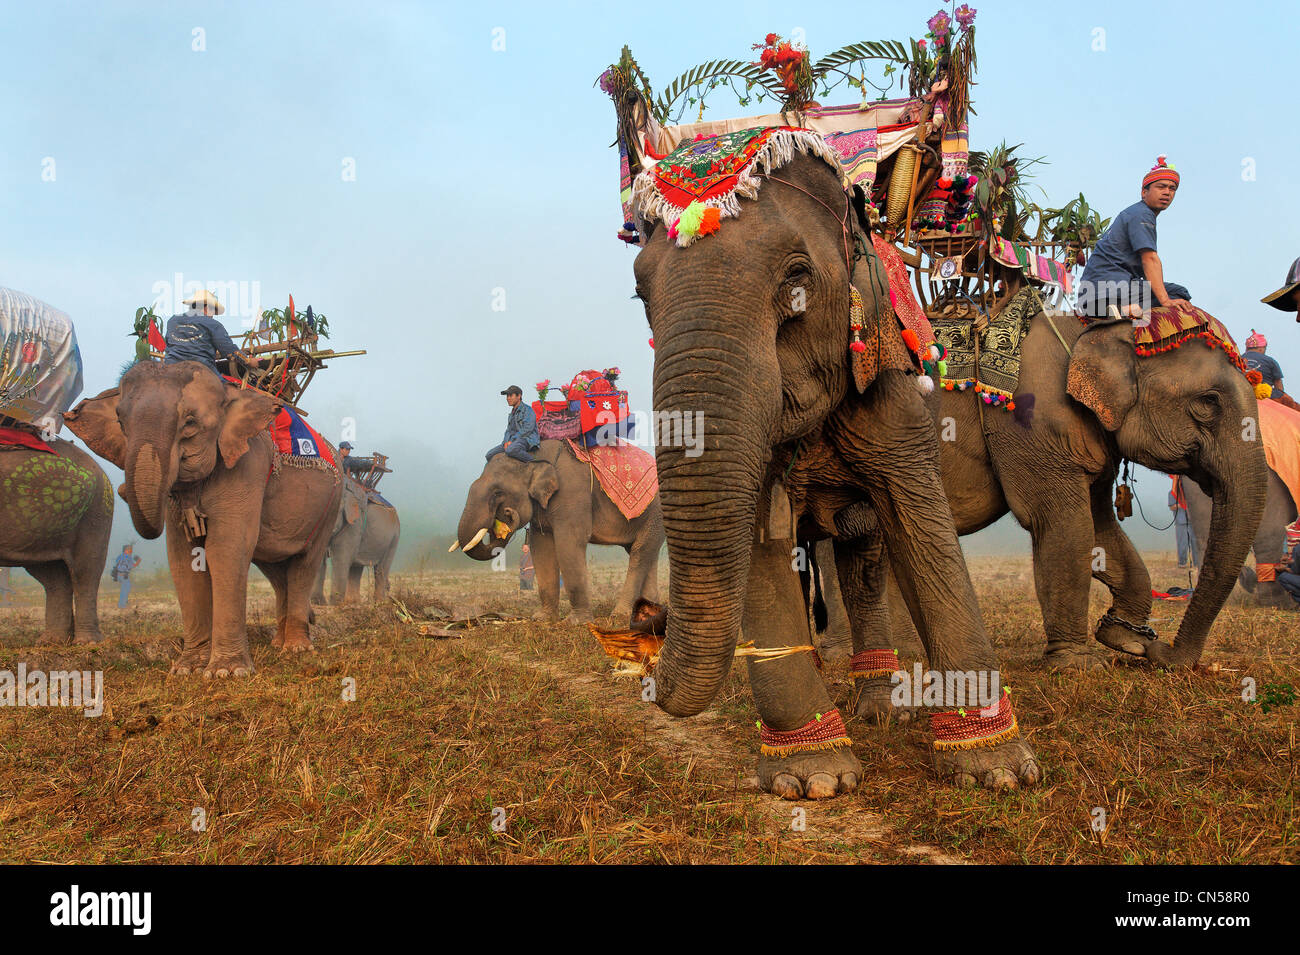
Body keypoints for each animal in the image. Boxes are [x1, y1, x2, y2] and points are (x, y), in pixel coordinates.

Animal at [63, 361, 342, 677]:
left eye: (190, 423)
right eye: (121, 422)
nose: (122, 490)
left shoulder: (247, 464)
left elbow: (225, 548)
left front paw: (227, 672)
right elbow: (183, 557)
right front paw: (188, 669)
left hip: (330, 506)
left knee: (305, 563)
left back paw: (296, 649)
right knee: (275, 569)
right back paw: (278, 644)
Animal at [452, 439, 663, 622]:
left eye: (497, 493)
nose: (508, 513)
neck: (535, 456)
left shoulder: (571, 493)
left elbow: (569, 543)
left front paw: (576, 622)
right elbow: (541, 547)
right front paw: (542, 619)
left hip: (656, 514)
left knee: (640, 552)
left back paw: (620, 615)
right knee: (645, 553)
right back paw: (649, 612)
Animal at [632, 147, 1038, 798]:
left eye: (797, 278)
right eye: (641, 294)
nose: (648, 622)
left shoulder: (887, 388)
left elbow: (919, 522)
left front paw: (999, 769)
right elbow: (762, 541)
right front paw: (813, 778)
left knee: (867, 559)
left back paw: (882, 710)